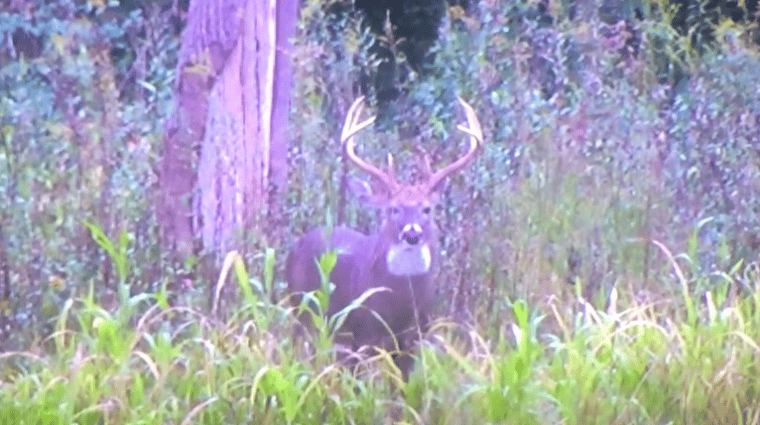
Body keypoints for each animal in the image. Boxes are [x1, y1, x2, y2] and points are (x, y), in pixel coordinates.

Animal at [286, 96, 484, 381]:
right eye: (394, 209)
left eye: (427, 209)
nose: (412, 234)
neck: (401, 305)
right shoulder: (364, 333)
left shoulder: (414, 339)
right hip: (302, 312)